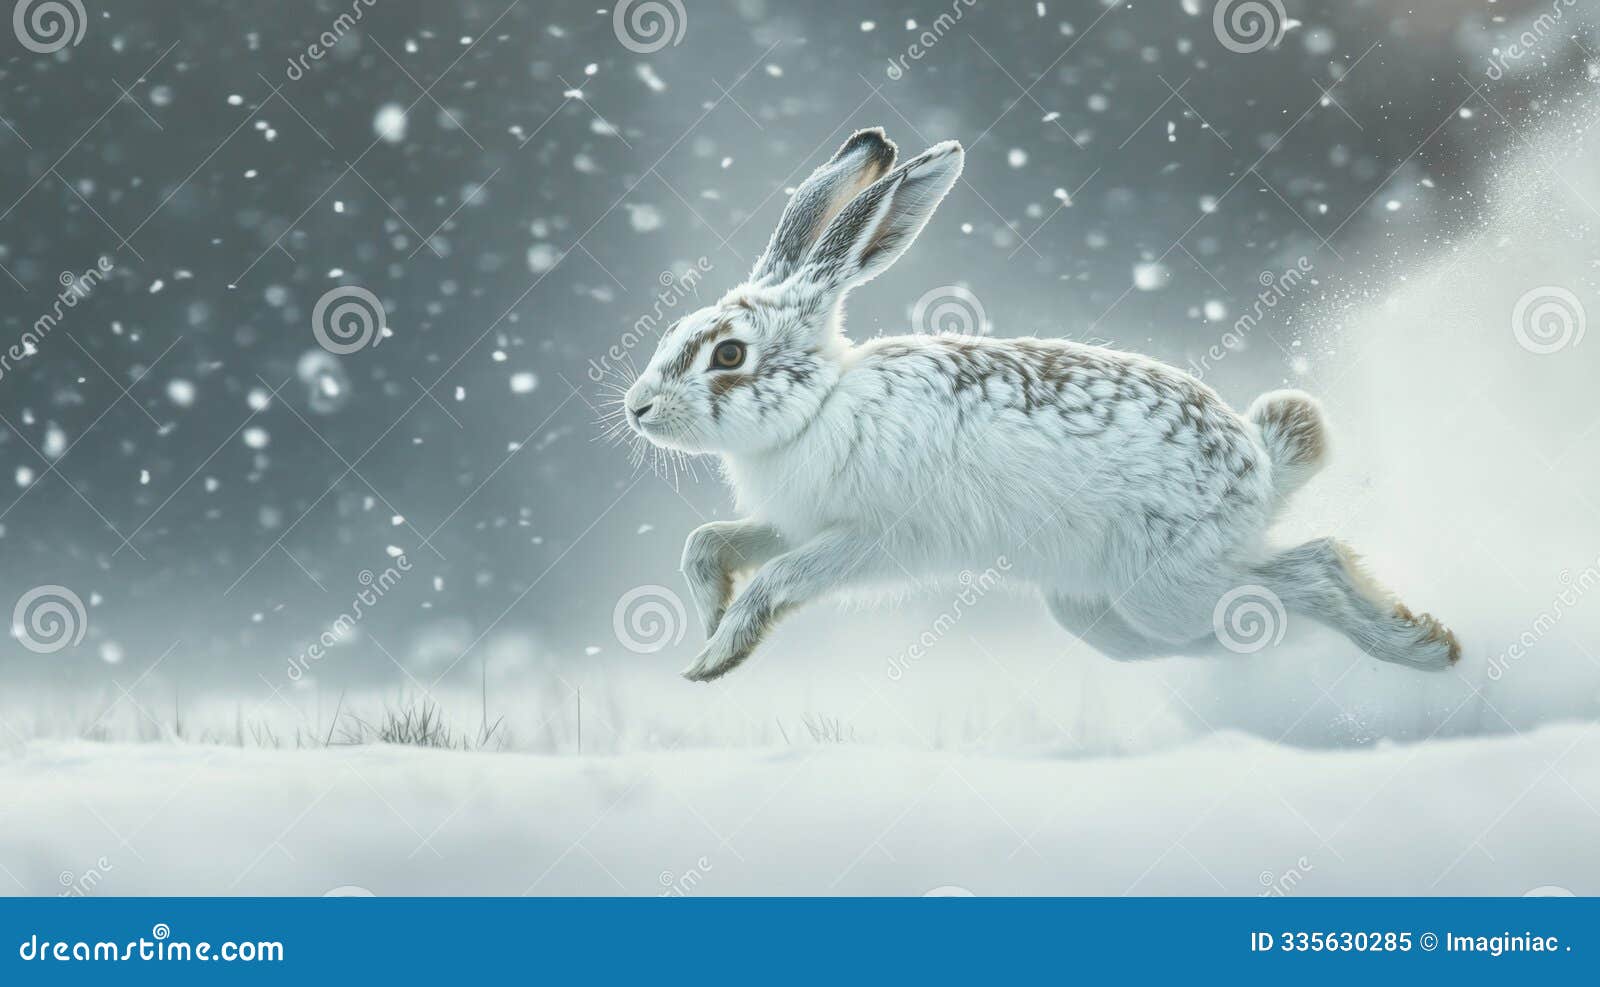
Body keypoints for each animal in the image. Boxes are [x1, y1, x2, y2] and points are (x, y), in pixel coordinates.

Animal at [620, 127, 1460, 682]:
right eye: (675, 331)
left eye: (728, 356)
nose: (636, 409)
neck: (818, 406)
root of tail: (1258, 466)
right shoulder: (786, 521)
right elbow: (708, 541)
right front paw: (707, 612)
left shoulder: (868, 539)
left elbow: (776, 580)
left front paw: (713, 659)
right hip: (1099, 605)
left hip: (1169, 584)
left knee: (1307, 573)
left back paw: (1419, 647)